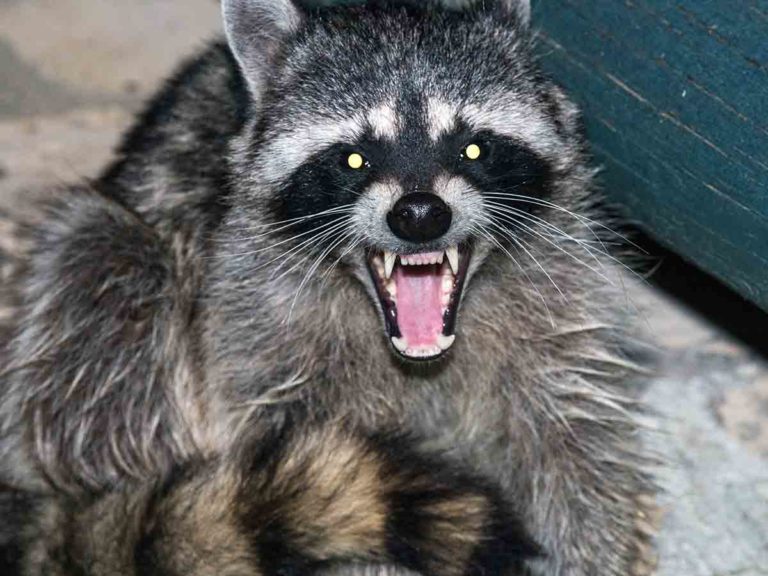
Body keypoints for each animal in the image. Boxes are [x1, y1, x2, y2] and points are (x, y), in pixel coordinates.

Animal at [0, 0, 655, 575]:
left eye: (474, 146)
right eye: (355, 159)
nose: (421, 214)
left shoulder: (558, 308)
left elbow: (575, 446)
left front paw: (592, 551)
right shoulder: (259, 337)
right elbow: (316, 470)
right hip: (110, 275)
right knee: (99, 266)